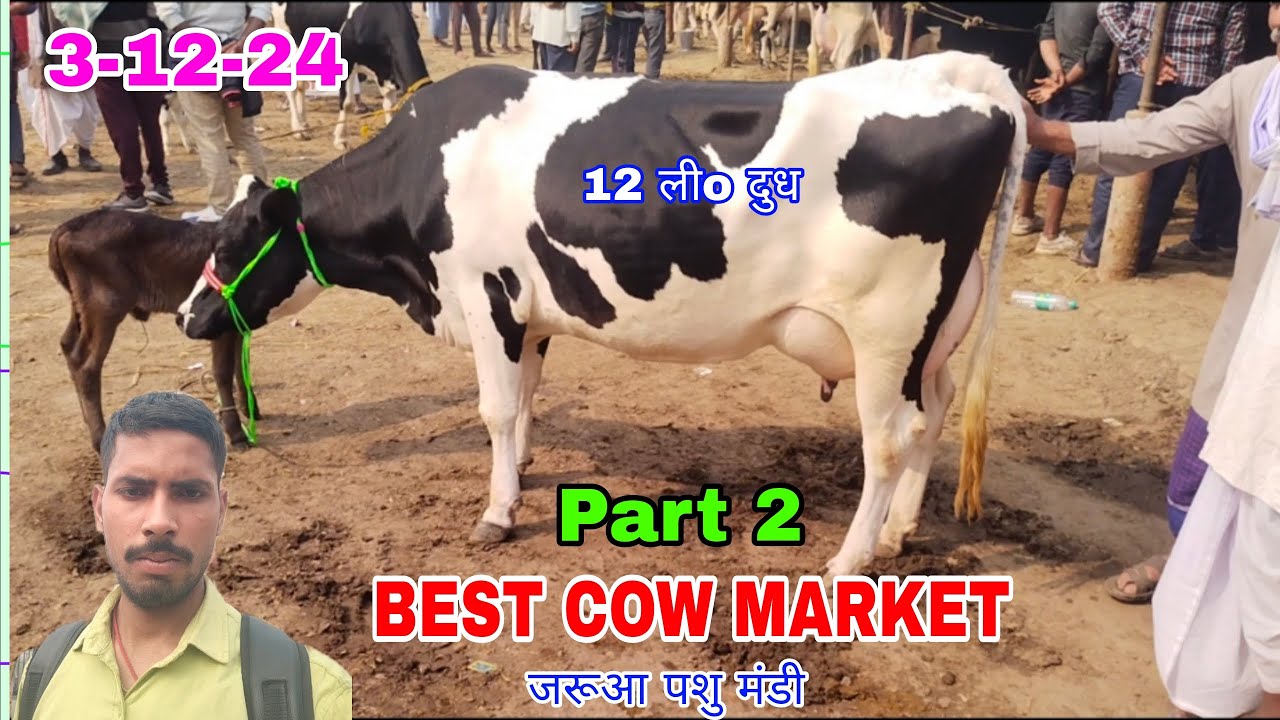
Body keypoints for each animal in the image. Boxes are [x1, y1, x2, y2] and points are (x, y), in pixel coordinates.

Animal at [176, 51, 1027, 578]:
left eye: (230, 240)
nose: (187, 317)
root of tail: (962, 76)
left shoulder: (486, 296)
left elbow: (494, 408)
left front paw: (497, 512)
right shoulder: (529, 309)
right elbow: (524, 400)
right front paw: (522, 471)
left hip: (887, 330)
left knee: (887, 440)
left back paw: (850, 558)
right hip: (934, 335)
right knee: (934, 414)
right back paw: (899, 531)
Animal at [274, 2, 429, 150]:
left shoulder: (387, 70)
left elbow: (389, 103)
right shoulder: (346, 59)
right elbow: (347, 103)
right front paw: (340, 139)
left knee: (301, 85)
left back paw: (304, 123)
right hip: (288, 38)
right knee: (292, 87)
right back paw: (298, 130)